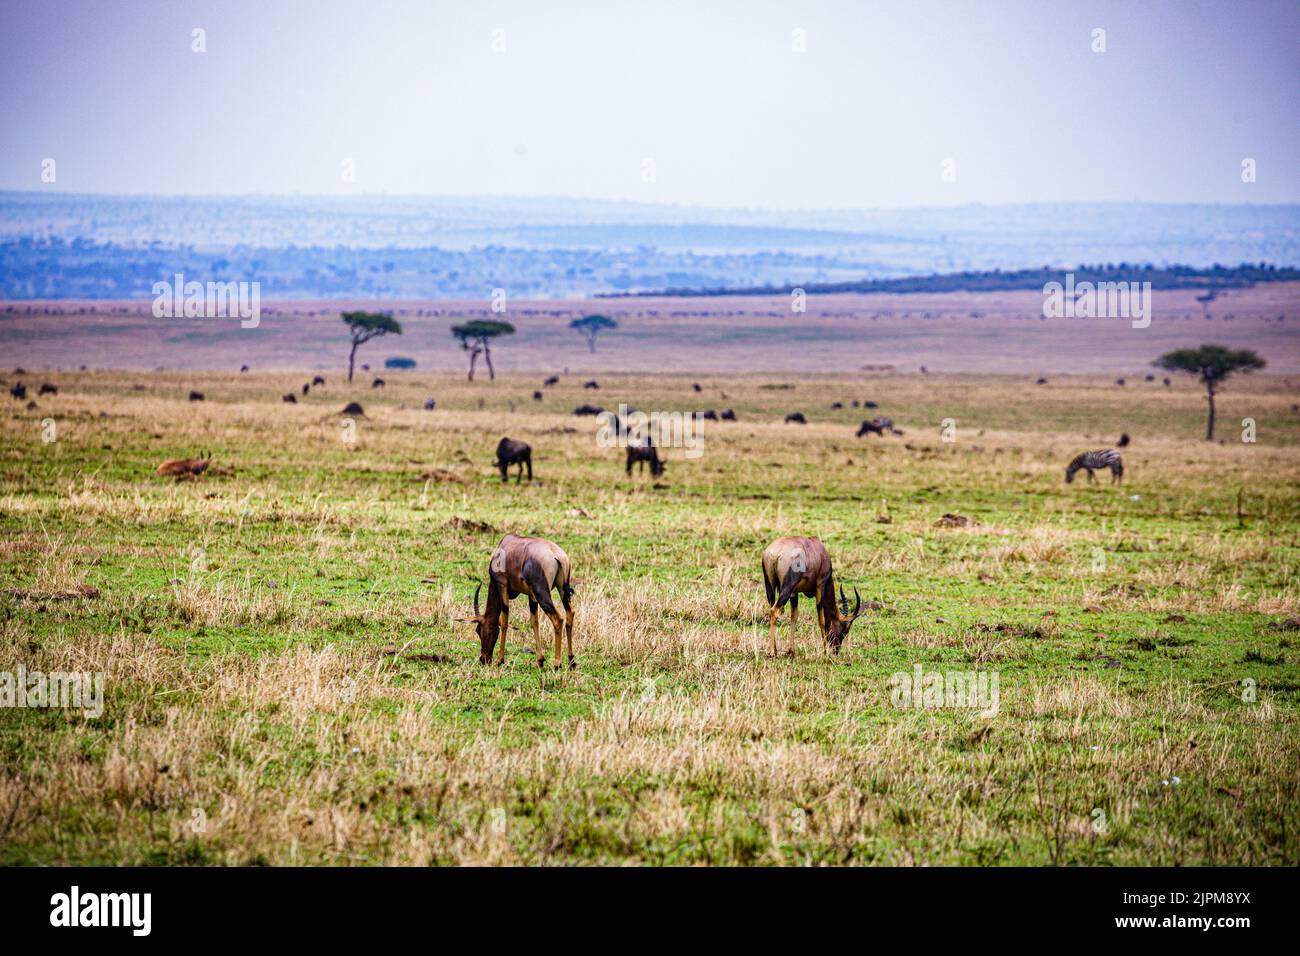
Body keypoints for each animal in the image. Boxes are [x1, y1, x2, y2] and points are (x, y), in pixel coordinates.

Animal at [462, 534, 575, 669]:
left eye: (478, 630)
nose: (484, 659)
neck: (505, 546)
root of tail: (557, 555)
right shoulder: (531, 595)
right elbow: (534, 622)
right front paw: (540, 660)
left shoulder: (502, 586)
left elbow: (504, 622)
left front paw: (500, 660)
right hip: (562, 589)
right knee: (570, 614)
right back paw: (571, 661)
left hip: (542, 593)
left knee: (558, 619)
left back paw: (557, 664)